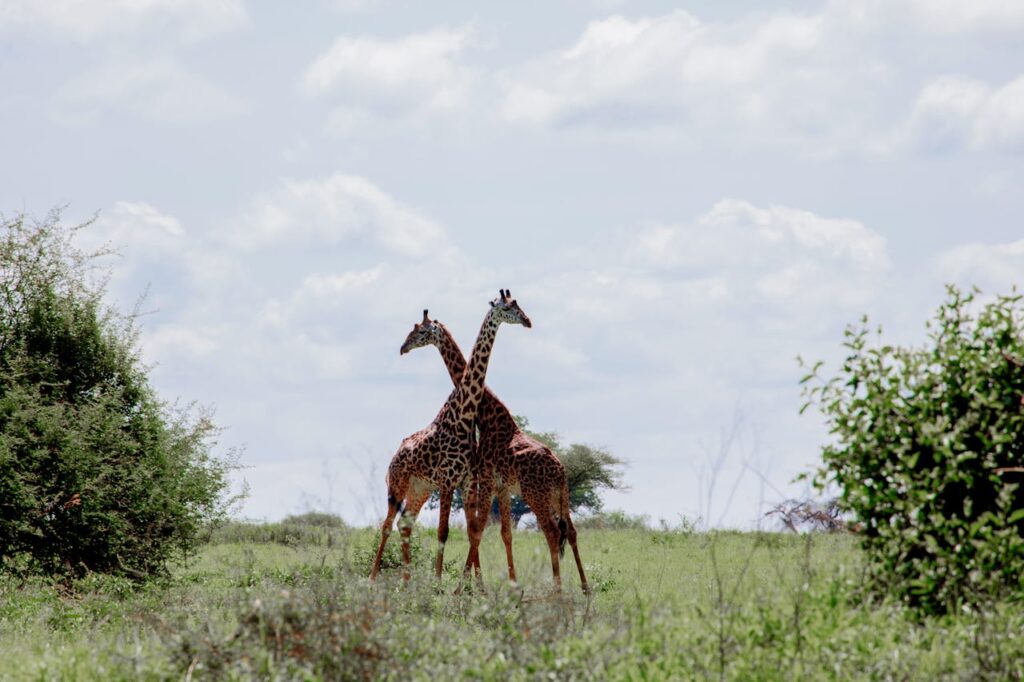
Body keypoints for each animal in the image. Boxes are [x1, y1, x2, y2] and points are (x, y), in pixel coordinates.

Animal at [370, 288, 532, 581]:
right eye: (507, 308)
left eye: (516, 305)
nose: (402, 347)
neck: (464, 417)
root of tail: (393, 459)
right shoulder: (448, 481)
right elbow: (444, 531)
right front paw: (439, 582)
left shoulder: (467, 481)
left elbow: (471, 530)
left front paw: (474, 585)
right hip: (397, 484)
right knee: (387, 525)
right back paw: (374, 579)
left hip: (420, 488)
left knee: (404, 524)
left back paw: (407, 581)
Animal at [399, 307, 593, 589]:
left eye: (420, 331)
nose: (403, 348)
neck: (488, 415)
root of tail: (560, 470)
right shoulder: (501, 487)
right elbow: (503, 533)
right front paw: (510, 583)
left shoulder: (487, 479)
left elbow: (477, 529)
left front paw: (465, 587)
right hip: (561, 495)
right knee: (572, 531)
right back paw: (585, 588)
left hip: (537, 494)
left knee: (552, 531)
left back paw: (558, 589)